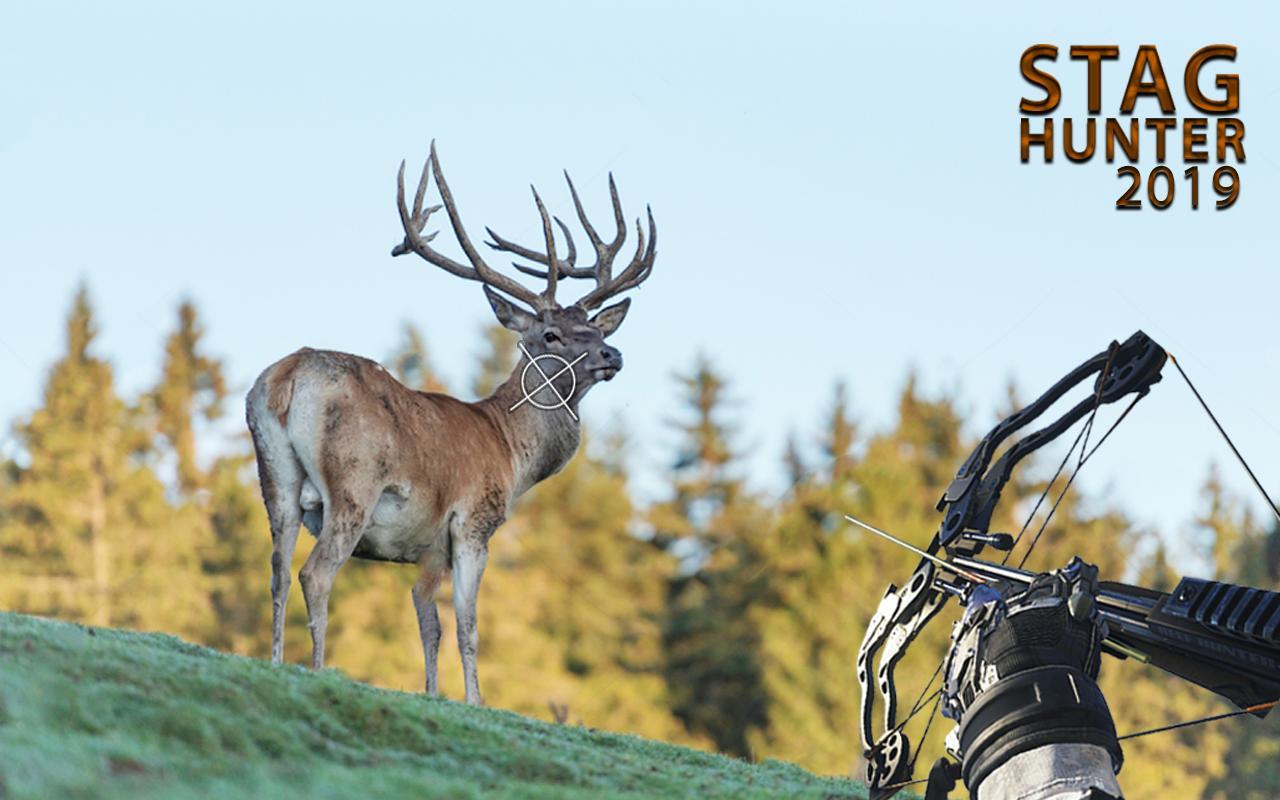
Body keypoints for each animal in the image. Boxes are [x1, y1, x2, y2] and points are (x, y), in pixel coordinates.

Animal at [245, 141, 655, 704]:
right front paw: (477, 701)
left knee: (278, 572)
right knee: (316, 573)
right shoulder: (473, 521)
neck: (511, 452)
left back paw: (276, 663)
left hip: (274, 477)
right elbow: (466, 625)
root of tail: (290, 374)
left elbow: (427, 622)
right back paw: (318, 670)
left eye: (595, 328)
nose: (612, 355)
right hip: (353, 481)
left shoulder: (427, 548)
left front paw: (433, 694)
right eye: (551, 334)